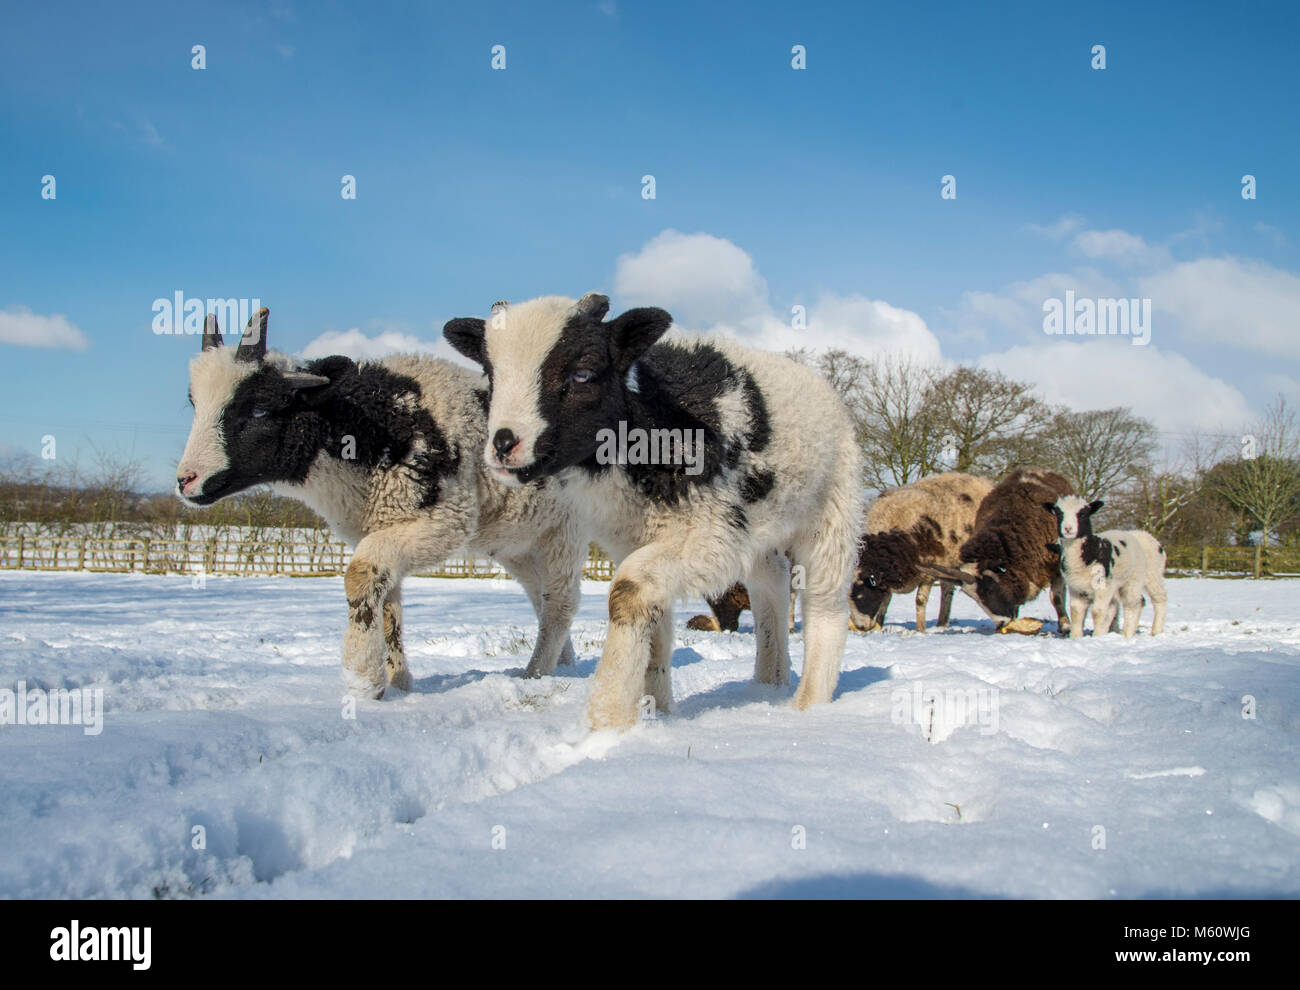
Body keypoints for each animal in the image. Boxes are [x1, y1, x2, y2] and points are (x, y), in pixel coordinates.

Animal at [177, 307, 585, 698]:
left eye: (260, 408)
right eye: (194, 402)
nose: (186, 480)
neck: (374, 422)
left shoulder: (446, 520)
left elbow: (361, 574)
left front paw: (364, 680)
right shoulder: (377, 526)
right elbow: (388, 600)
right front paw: (398, 683)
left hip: (564, 529)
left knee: (560, 602)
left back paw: (536, 673)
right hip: (520, 541)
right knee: (538, 593)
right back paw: (563, 665)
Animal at [443, 293, 863, 730]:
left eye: (582, 374)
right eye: (491, 375)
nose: (503, 445)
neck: (647, 428)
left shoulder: (712, 535)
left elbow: (628, 591)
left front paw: (607, 717)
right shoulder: (635, 536)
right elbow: (654, 615)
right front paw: (656, 711)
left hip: (833, 505)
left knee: (827, 600)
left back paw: (809, 704)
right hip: (762, 527)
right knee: (772, 582)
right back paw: (769, 682)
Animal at [849, 472, 995, 632]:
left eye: (860, 596)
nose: (860, 626)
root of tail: (981, 480)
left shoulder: (928, 572)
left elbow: (920, 600)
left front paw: (920, 630)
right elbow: (886, 599)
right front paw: (878, 626)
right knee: (947, 589)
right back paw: (941, 623)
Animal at [920, 467, 1074, 633]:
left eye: (989, 589)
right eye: (973, 597)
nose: (1000, 623)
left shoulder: (1056, 566)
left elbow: (1056, 597)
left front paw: (1065, 626)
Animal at [1044, 495, 1168, 637]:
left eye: (1083, 514)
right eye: (1058, 514)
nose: (1068, 529)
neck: (1090, 551)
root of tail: (1144, 534)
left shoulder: (1104, 587)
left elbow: (1098, 612)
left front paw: (1098, 636)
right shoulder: (1076, 588)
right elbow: (1076, 612)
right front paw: (1076, 637)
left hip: (1143, 577)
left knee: (1140, 603)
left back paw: (1142, 632)